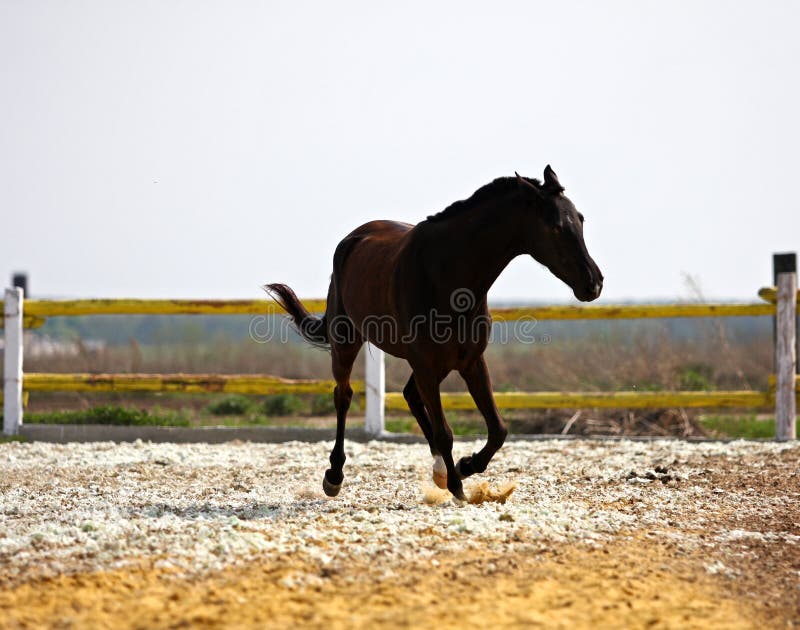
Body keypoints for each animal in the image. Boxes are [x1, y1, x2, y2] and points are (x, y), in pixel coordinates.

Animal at [266, 165, 603, 501]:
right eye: (556, 227)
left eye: (581, 219)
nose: (594, 283)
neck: (448, 277)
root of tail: (352, 239)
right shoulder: (427, 365)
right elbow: (445, 432)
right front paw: (458, 484)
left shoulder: (470, 362)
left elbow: (498, 429)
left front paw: (465, 467)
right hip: (348, 342)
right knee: (344, 395)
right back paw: (335, 475)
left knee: (410, 395)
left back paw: (440, 469)